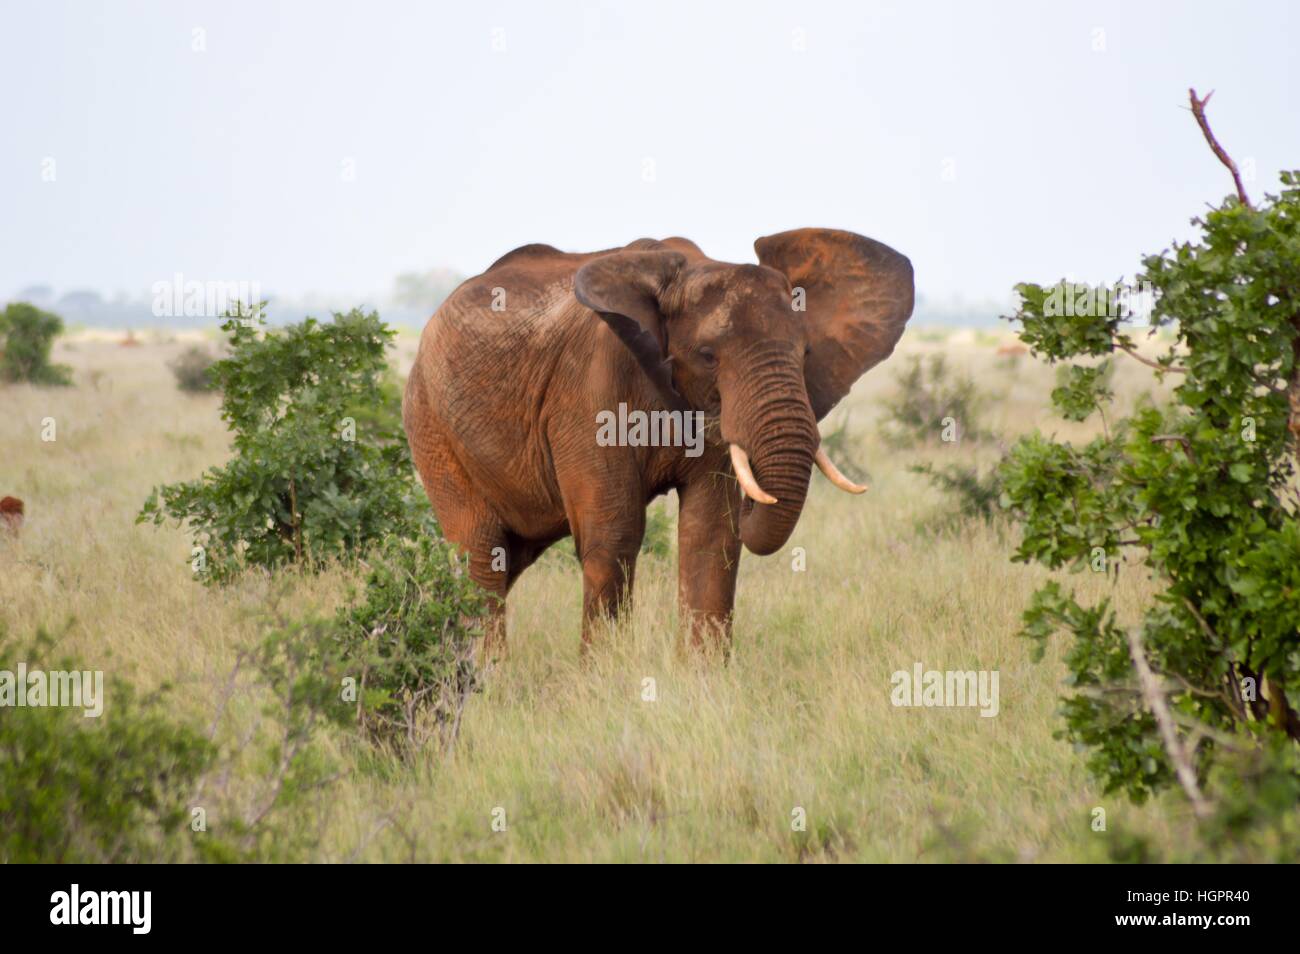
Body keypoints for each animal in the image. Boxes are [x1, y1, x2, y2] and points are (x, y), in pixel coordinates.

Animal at [402, 228, 914, 649]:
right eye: (707, 355)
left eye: (806, 353)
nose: (757, 502)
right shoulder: (588, 390)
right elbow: (614, 535)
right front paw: (604, 682)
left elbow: (711, 536)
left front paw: (705, 685)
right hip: (430, 423)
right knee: (480, 554)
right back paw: (484, 680)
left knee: (507, 558)